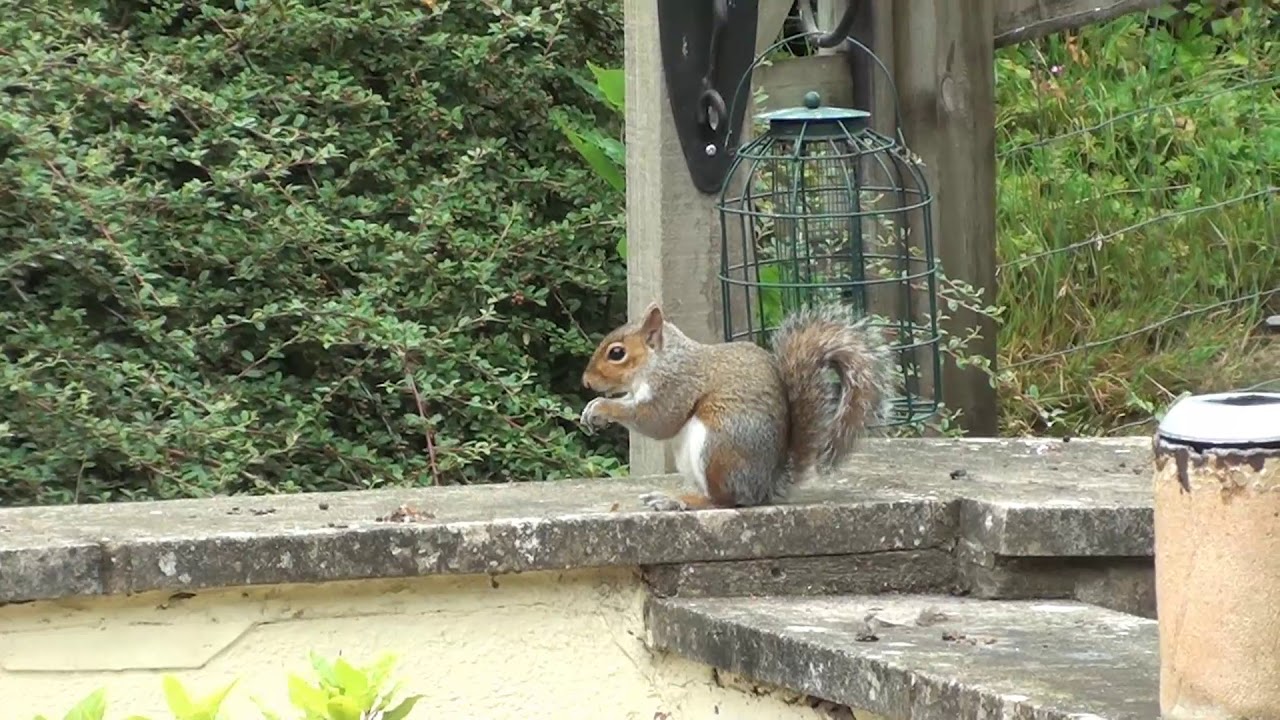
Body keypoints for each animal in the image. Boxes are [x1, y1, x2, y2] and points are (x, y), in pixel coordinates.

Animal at [579, 301, 895, 512]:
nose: (586, 381)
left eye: (617, 353)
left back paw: (677, 500)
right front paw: (593, 407)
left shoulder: (676, 386)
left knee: (723, 500)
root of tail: (765, 485)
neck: (661, 360)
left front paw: (604, 407)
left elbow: (657, 420)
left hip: (719, 447)